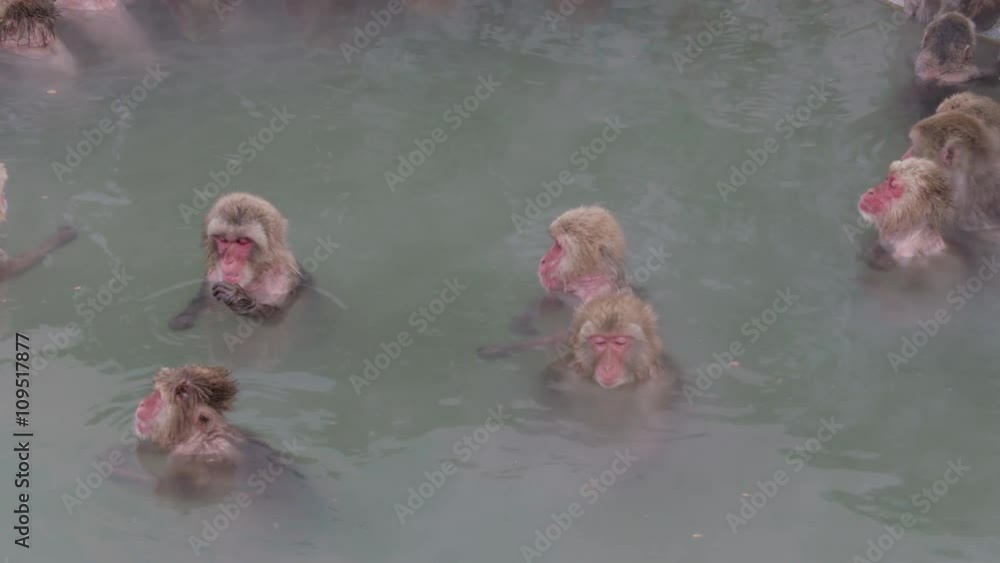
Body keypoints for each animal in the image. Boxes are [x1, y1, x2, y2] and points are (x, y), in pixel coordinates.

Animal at [169, 193, 306, 331]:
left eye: (242, 241)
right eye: (223, 239)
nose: (228, 260)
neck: (255, 277)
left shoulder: (282, 283)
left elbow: (273, 318)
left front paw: (240, 301)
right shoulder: (213, 275)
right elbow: (205, 299)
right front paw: (185, 316)